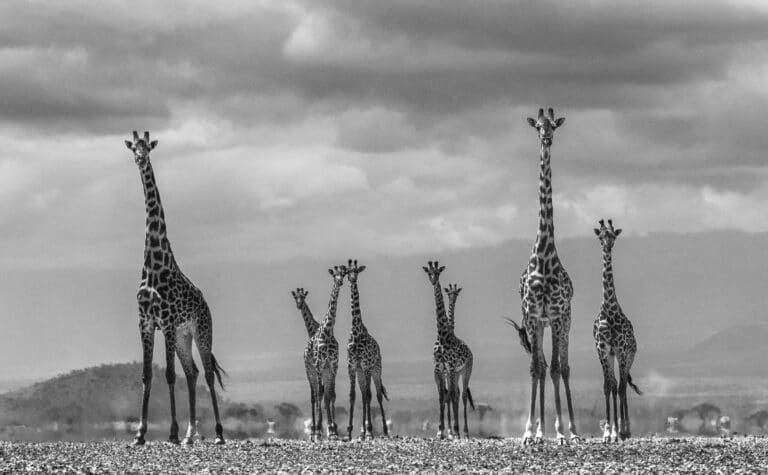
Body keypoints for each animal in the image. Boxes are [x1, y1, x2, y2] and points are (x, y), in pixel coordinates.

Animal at [125, 131, 226, 446]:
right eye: (133, 148)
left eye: (148, 148)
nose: (140, 159)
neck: (154, 264)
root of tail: (207, 305)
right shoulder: (145, 322)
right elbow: (147, 375)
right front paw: (140, 433)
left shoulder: (167, 323)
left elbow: (168, 374)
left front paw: (170, 431)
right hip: (184, 336)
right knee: (192, 372)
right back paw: (191, 434)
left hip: (201, 329)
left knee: (207, 373)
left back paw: (218, 434)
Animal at [422, 261, 475, 439]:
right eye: (428, 272)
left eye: (438, 272)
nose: (433, 280)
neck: (443, 336)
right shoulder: (438, 369)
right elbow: (442, 396)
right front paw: (441, 431)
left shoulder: (451, 368)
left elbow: (451, 396)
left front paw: (454, 431)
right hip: (456, 373)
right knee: (454, 395)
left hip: (466, 370)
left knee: (462, 395)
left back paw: (464, 431)